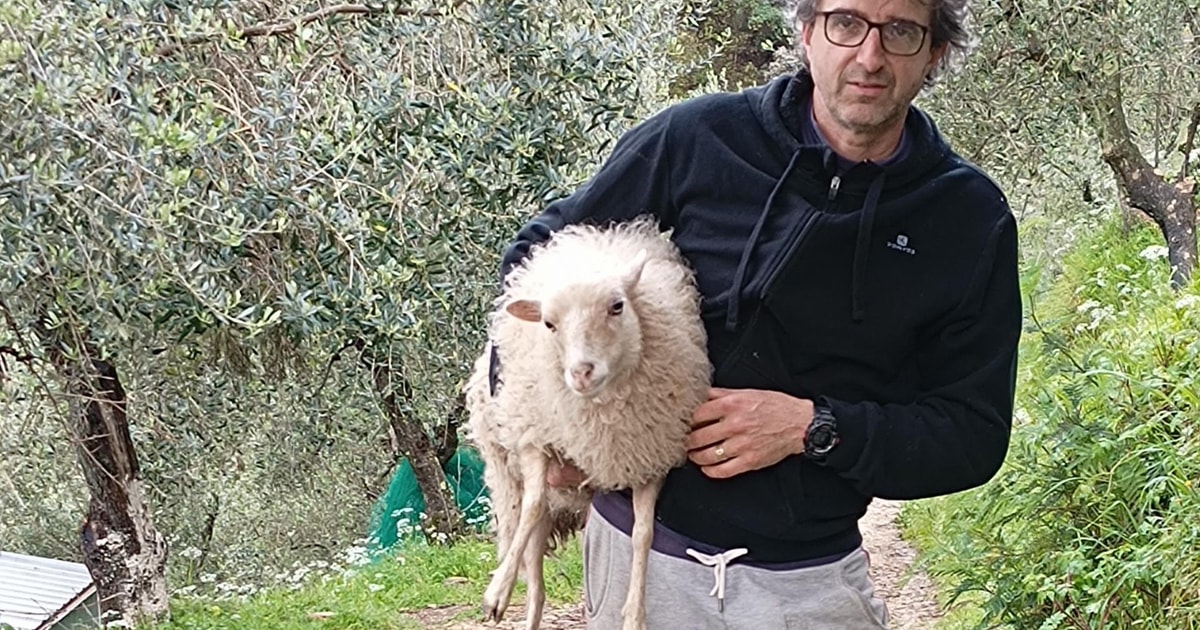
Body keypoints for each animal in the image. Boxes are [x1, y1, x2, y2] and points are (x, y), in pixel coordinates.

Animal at [464, 215, 711, 630]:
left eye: (617, 306)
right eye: (548, 323)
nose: (581, 373)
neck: (604, 414)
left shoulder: (649, 456)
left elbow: (643, 533)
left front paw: (634, 614)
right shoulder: (533, 438)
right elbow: (533, 503)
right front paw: (497, 590)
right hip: (507, 477)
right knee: (534, 576)